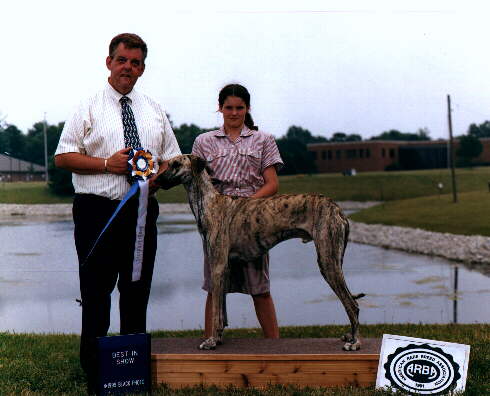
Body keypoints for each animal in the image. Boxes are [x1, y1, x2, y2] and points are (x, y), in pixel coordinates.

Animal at [157, 155, 364, 350]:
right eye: (166, 164)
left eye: (176, 164)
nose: (157, 180)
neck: (209, 203)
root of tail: (336, 208)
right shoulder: (224, 269)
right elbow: (221, 311)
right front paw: (219, 337)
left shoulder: (217, 266)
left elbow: (216, 312)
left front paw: (211, 341)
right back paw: (350, 336)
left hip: (328, 261)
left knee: (353, 305)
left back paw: (354, 342)